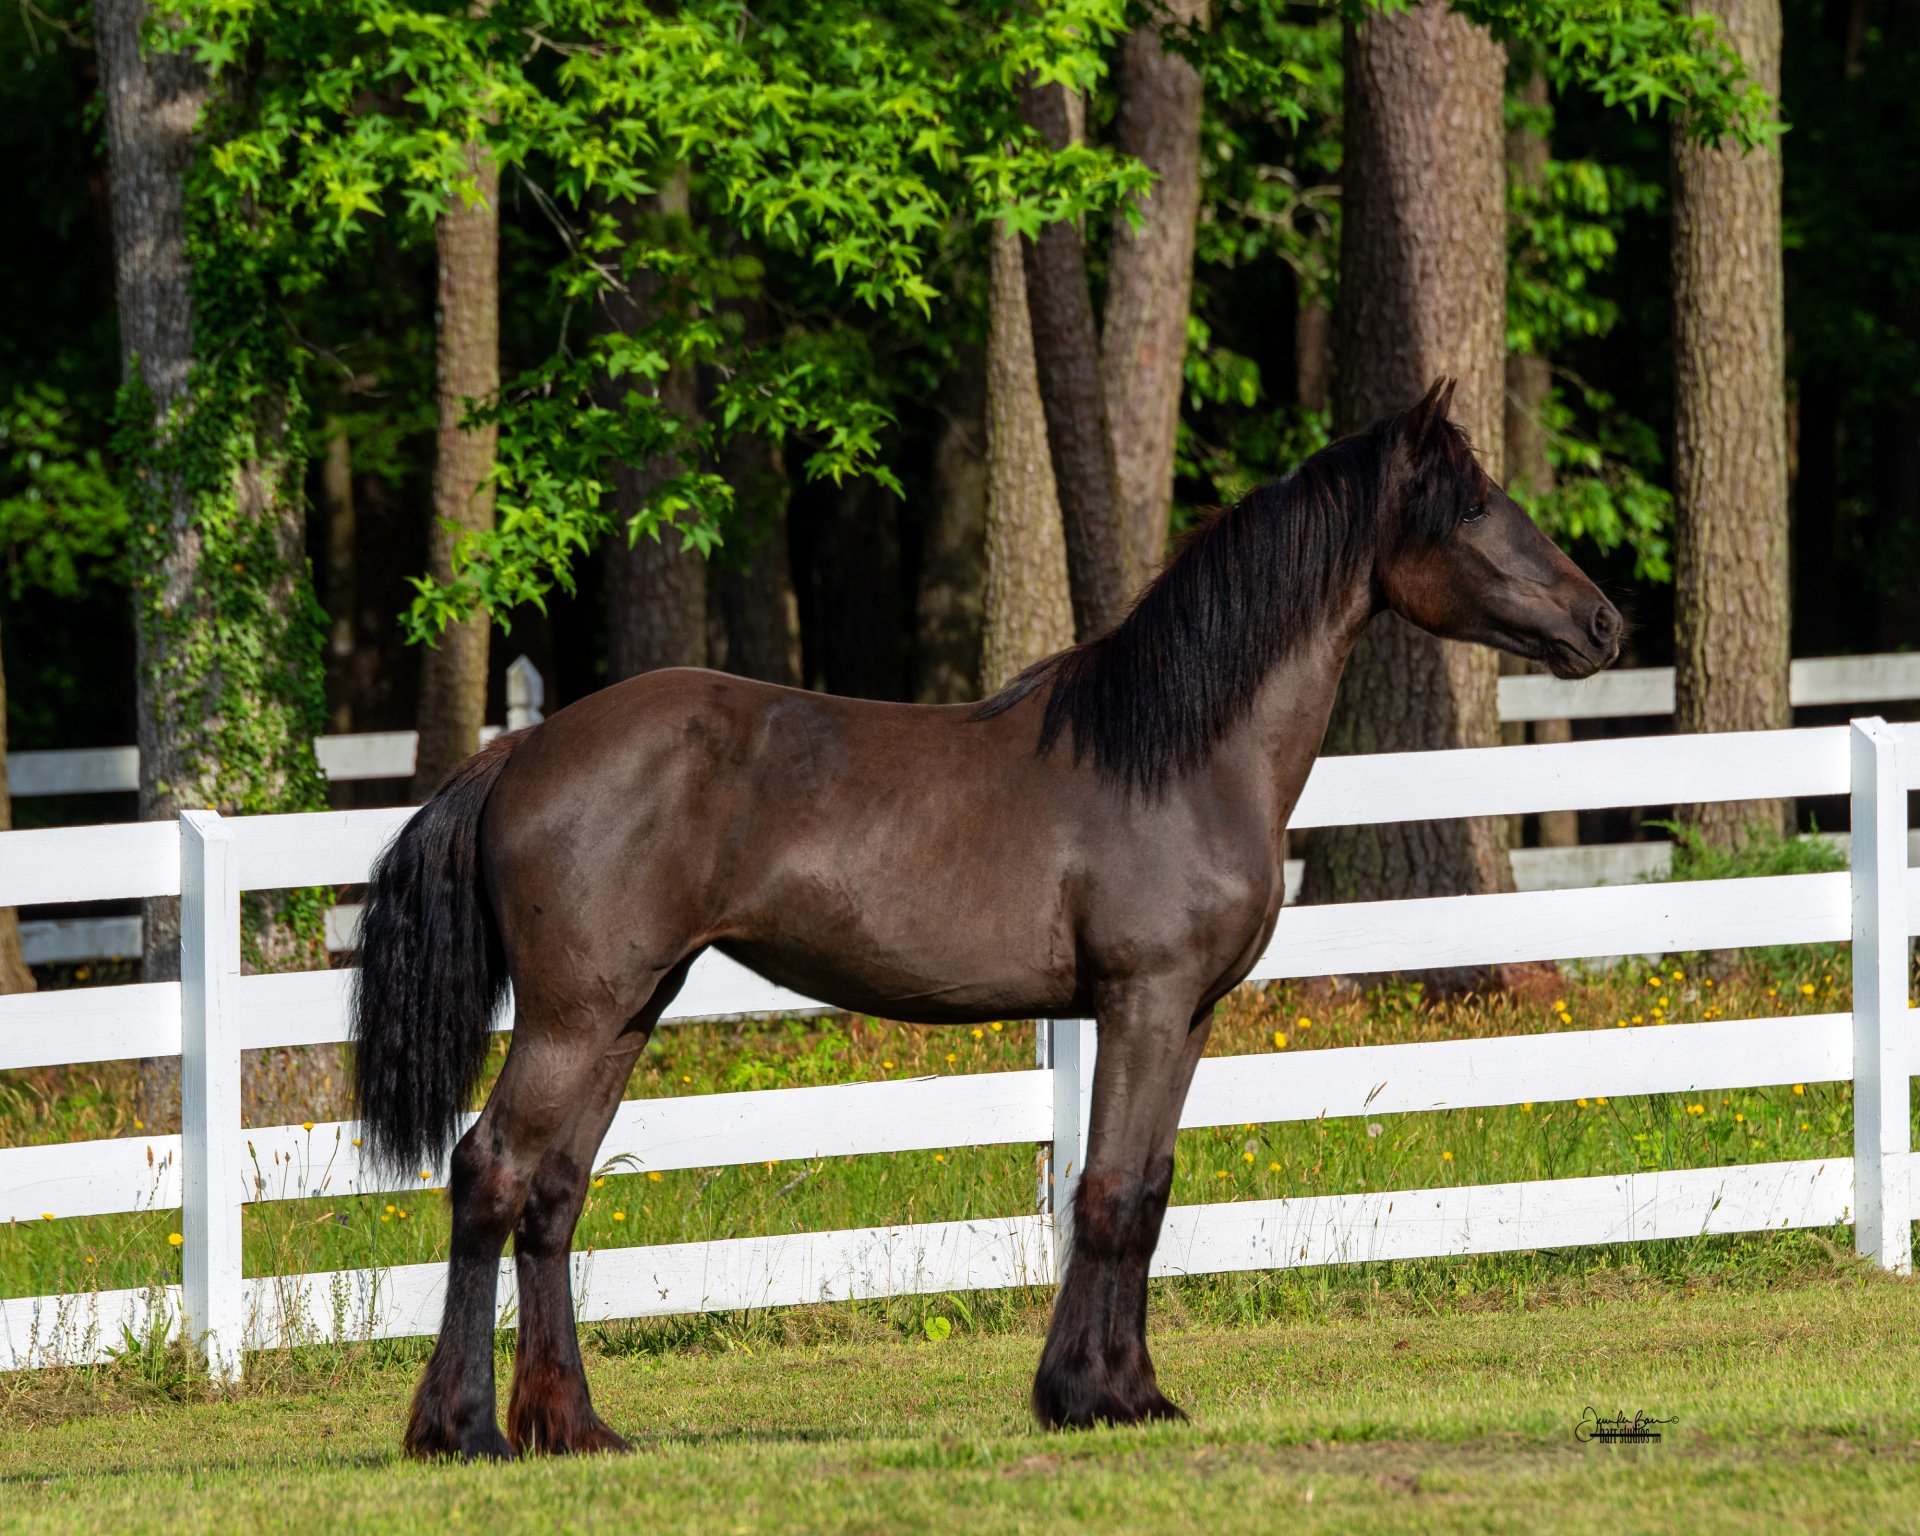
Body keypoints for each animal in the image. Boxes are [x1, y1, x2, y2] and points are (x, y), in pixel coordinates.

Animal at [350, 377, 1622, 1459]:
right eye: (1474, 507)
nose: (1604, 625)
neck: (1180, 756)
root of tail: (519, 753)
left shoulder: (1189, 1018)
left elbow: (1148, 1192)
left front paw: (1132, 1394)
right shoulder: (1142, 1003)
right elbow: (1105, 1194)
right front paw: (1084, 1398)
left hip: (626, 1013)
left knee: (555, 1194)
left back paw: (573, 1427)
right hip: (573, 1018)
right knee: (491, 1172)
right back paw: (462, 1430)